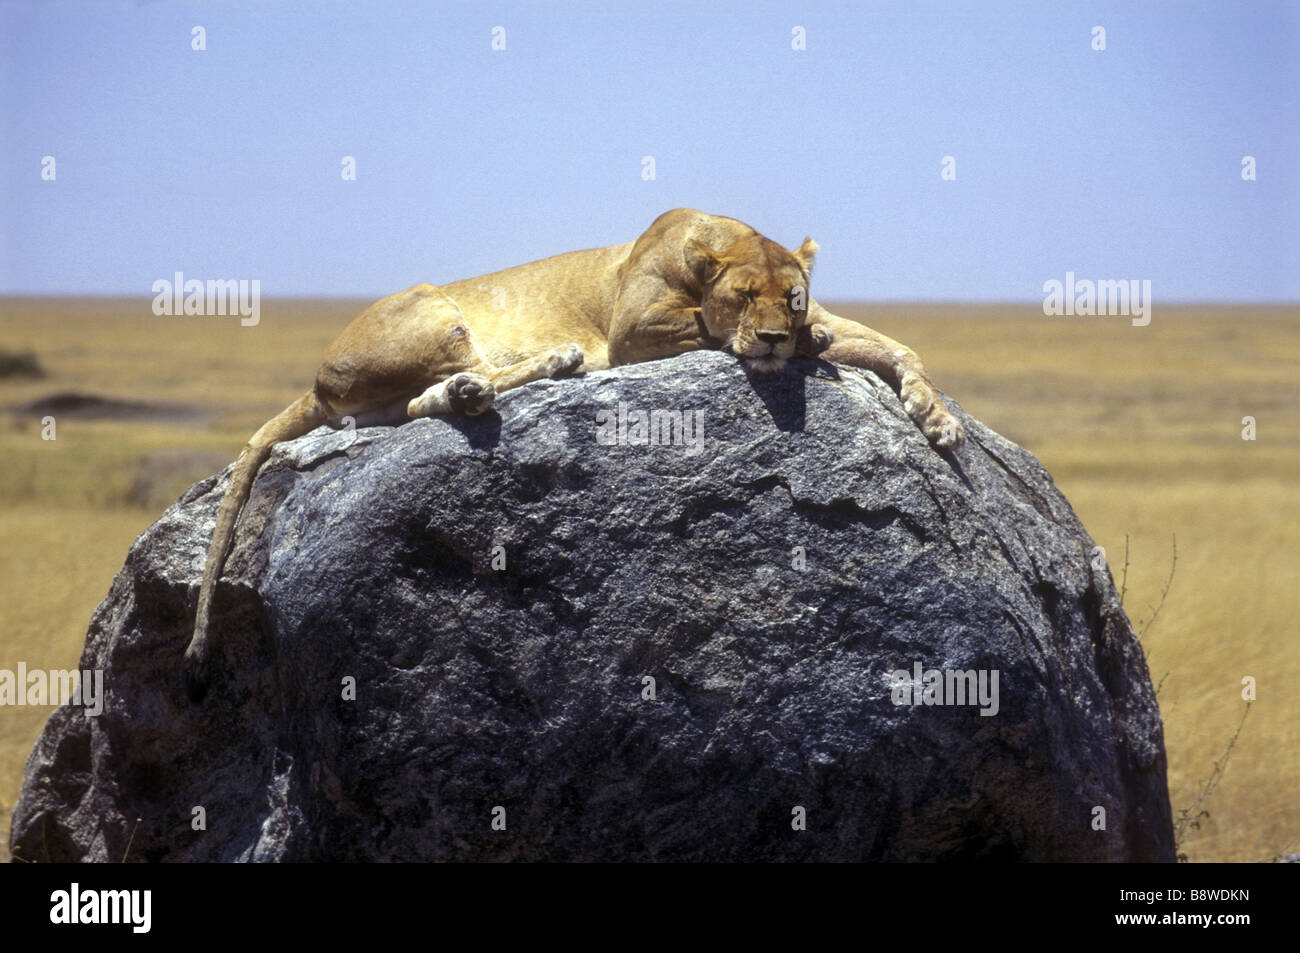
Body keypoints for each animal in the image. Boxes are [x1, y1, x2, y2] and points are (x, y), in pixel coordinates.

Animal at [183, 208, 964, 698]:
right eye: (745, 296)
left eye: (791, 296)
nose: (775, 336)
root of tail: (317, 377)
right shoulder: (635, 330)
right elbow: (720, 328)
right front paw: (810, 347)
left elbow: (897, 346)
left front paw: (935, 418)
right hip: (437, 309)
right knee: (458, 378)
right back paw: (550, 361)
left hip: (397, 383)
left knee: (419, 404)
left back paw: (475, 389)